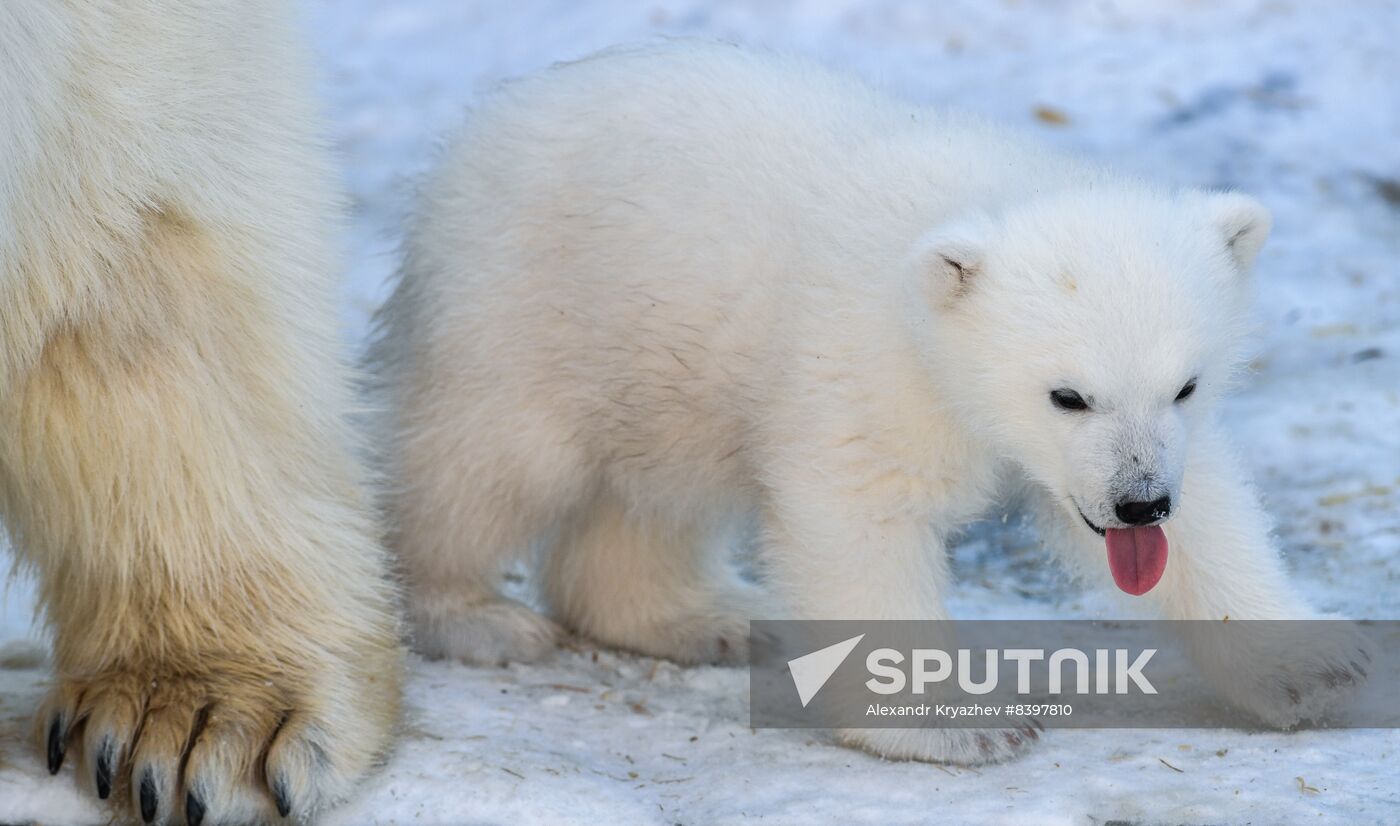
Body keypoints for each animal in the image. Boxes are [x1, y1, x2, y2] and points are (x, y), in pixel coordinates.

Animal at [371, 41, 1366, 765]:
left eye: (1185, 384)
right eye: (1067, 395)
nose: (1138, 502)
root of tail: (480, 129)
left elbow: (1211, 518)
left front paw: (1316, 667)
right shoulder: (868, 359)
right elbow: (863, 516)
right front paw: (967, 727)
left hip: (664, 354)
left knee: (656, 492)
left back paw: (708, 618)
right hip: (531, 303)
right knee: (490, 460)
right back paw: (472, 615)